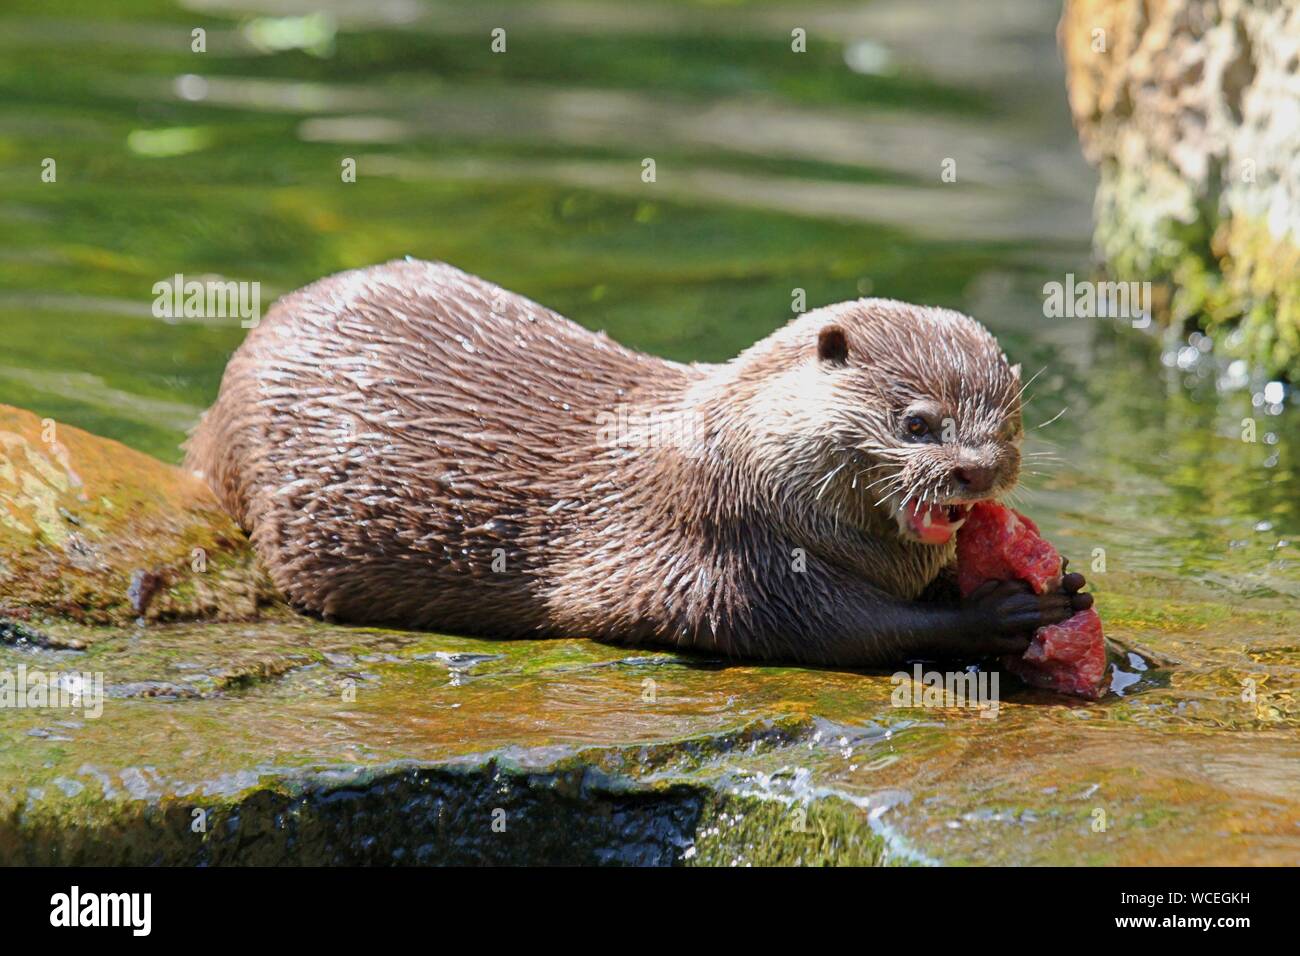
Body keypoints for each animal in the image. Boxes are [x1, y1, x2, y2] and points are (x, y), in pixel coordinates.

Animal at [185, 259, 1091, 666]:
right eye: (918, 422)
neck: (738, 454)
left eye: (1010, 424)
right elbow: (826, 627)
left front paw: (1065, 583)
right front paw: (1000, 613)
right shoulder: (714, 550)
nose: (979, 470)